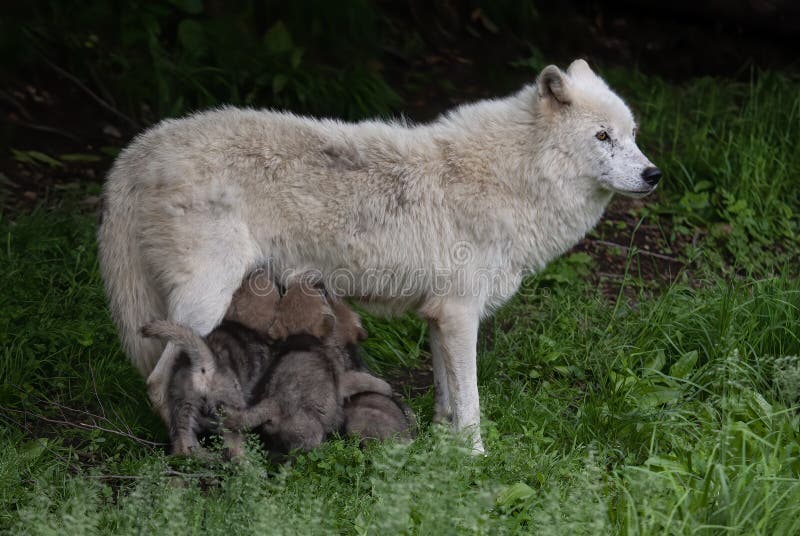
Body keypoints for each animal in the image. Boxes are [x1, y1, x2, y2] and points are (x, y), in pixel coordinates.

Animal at [97, 59, 660, 452]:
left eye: (632, 134)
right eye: (602, 136)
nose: (653, 175)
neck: (514, 177)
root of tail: (139, 149)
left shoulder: (439, 318)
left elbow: (447, 396)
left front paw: (440, 441)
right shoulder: (461, 314)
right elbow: (472, 402)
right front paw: (476, 460)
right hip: (205, 303)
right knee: (158, 379)